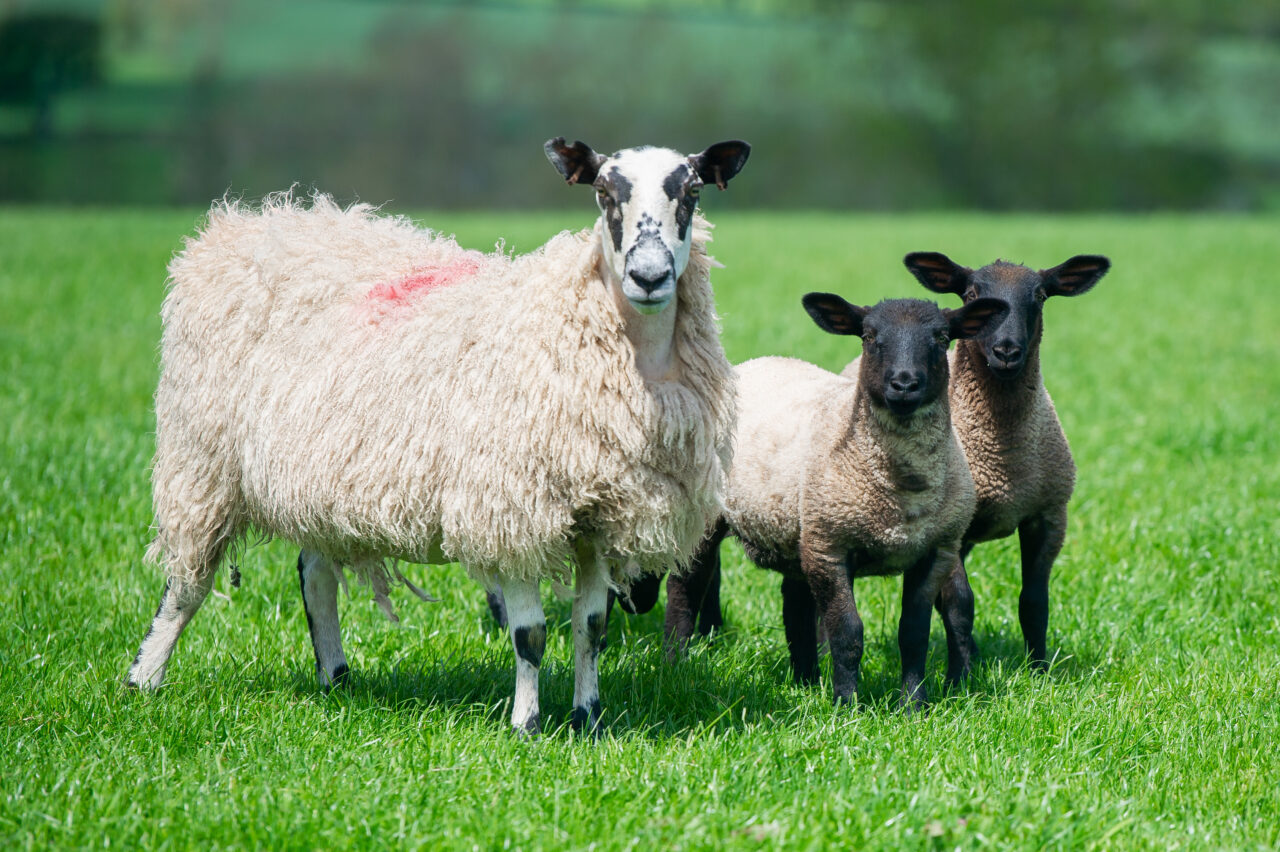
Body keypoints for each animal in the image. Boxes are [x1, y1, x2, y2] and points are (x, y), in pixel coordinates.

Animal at [126, 137, 750, 736]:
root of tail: (246, 224)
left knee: (315, 573)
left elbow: (590, 628)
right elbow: (531, 634)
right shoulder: (511, 511)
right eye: (602, 191)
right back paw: (143, 678)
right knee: (186, 580)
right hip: (202, 458)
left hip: (320, 468)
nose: (649, 276)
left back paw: (336, 679)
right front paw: (527, 727)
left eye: (692, 191)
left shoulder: (600, 516)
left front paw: (589, 721)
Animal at [691, 294, 1009, 708]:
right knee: (688, 587)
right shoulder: (830, 547)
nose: (904, 383)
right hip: (710, 517)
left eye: (941, 338)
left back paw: (805, 680)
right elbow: (847, 633)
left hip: (799, 529)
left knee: (795, 604)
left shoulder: (934, 551)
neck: (902, 491)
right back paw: (675, 658)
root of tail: (755, 363)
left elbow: (914, 635)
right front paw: (847, 705)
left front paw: (913, 706)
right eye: (869, 336)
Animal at [894, 251, 1111, 673]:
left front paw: (1039, 671)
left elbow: (1034, 602)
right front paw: (960, 678)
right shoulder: (952, 526)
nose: (1007, 352)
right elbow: (960, 604)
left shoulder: (1048, 515)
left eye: (1040, 296)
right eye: (971, 294)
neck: (1002, 457)